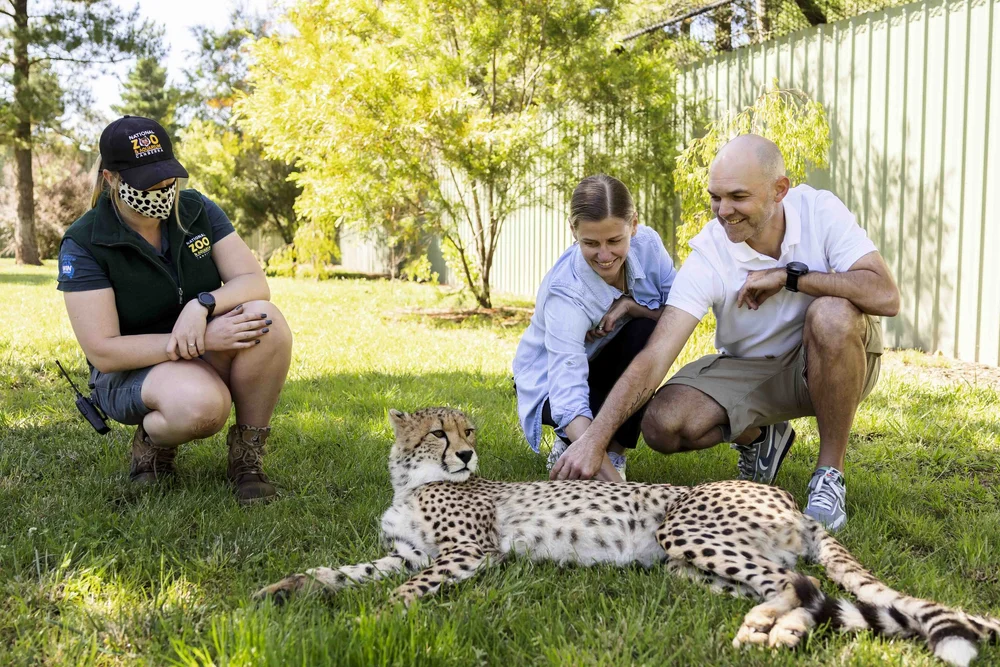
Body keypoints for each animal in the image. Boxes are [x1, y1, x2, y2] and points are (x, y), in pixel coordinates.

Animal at [255, 407, 999, 666]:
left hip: (684, 526)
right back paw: (764, 626)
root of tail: (786, 495)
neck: (411, 482)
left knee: (803, 581)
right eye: (440, 432)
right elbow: (341, 571)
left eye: (468, 432)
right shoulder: (400, 551)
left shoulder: (470, 552)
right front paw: (283, 589)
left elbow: (409, 586)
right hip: (682, 562)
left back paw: (784, 632)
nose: (465, 455)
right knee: (791, 586)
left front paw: (376, 619)